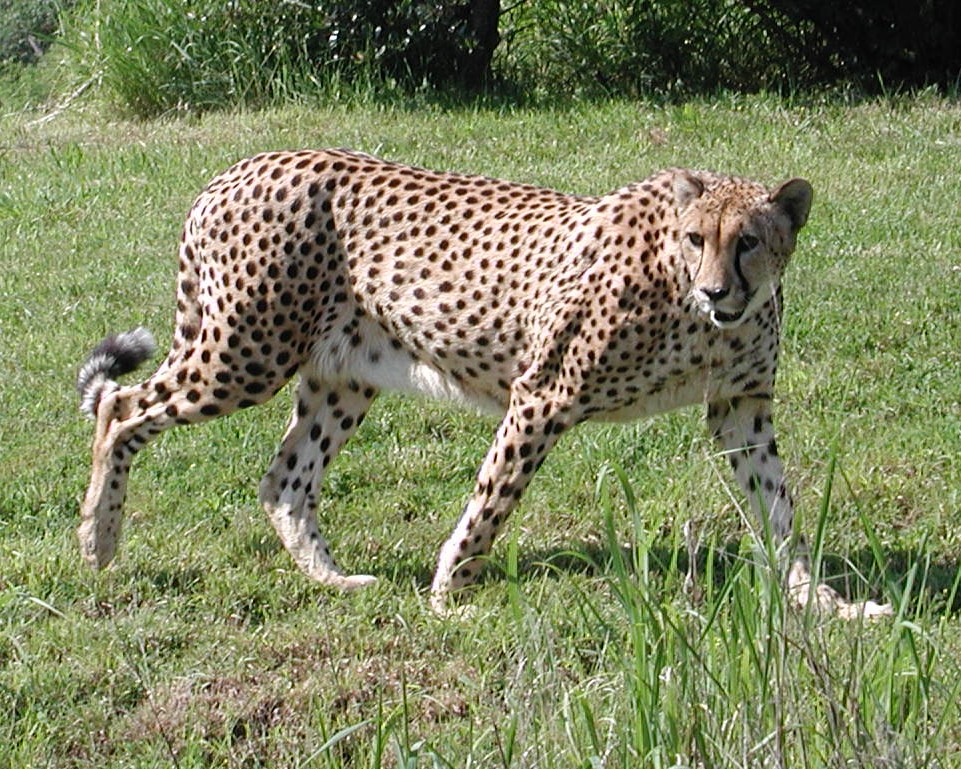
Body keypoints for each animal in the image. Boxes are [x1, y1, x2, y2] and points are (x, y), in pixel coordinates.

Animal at [75, 148, 890, 618]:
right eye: (697, 239)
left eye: (748, 241)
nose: (719, 290)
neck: (694, 310)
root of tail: (239, 166)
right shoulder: (543, 393)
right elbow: (493, 497)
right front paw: (449, 591)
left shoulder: (738, 410)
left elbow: (781, 512)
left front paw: (820, 599)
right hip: (245, 353)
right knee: (120, 405)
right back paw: (98, 540)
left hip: (340, 375)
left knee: (283, 479)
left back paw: (335, 582)